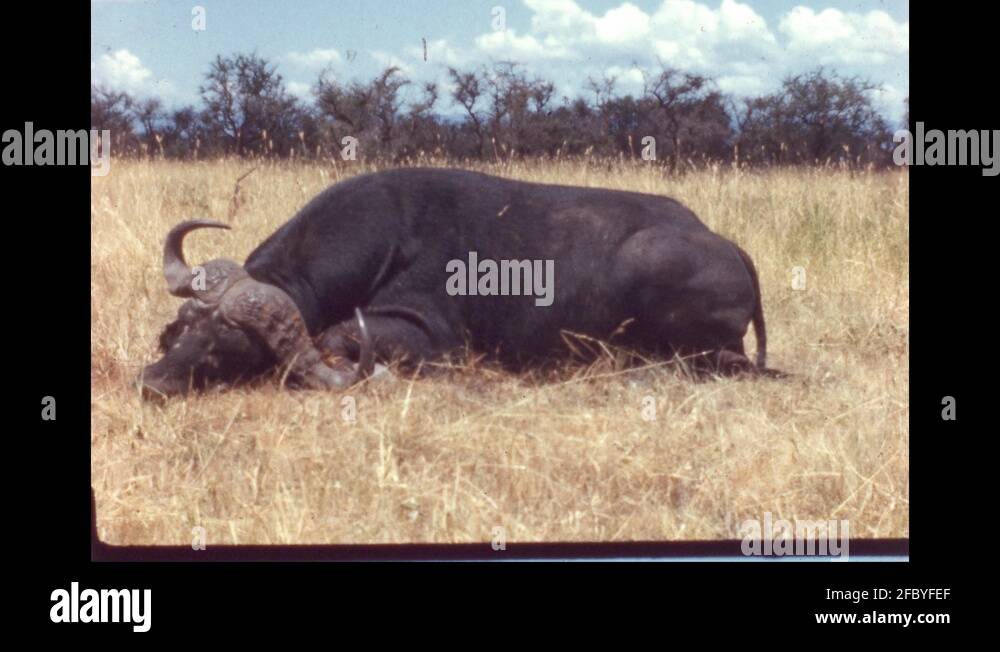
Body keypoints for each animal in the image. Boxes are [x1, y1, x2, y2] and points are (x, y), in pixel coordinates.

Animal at [140, 168, 775, 398]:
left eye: (229, 345)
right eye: (187, 326)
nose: (153, 382)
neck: (391, 234)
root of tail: (727, 247)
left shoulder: (431, 340)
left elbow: (342, 335)